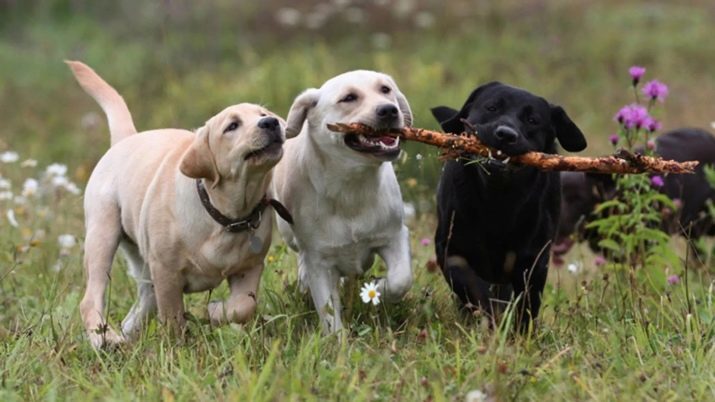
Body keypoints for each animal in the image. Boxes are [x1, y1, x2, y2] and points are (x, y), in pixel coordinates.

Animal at [67, 61, 290, 348]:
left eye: (262, 113)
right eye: (232, 126)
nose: (271, 122)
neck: (225, 215)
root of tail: (126, 139)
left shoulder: (249, 267)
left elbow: (243, 306)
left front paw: (214, 311)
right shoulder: (166, 271)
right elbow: (172, 315)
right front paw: (178, 346)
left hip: (141, 255)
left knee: (142, 303)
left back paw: (127, 337)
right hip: (102, 233)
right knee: (91, 297)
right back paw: (105, 339)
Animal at [270, 71, 414, 332]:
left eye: (385, 89)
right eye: (348, 98)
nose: (389, 110)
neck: (351, 187)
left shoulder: (394, 235)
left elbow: (400, 279)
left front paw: (378, 288)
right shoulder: (319, 260)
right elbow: (328, 312)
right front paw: (338, 340)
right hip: (288, 232)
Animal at [430, 81, 588, 326]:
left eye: (533, 120)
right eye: (492, 107)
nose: (506, 134)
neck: (498, 200)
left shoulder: (533, 261)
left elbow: (527, 305)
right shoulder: (451, 250)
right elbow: (473, 289)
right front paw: (490, 319)